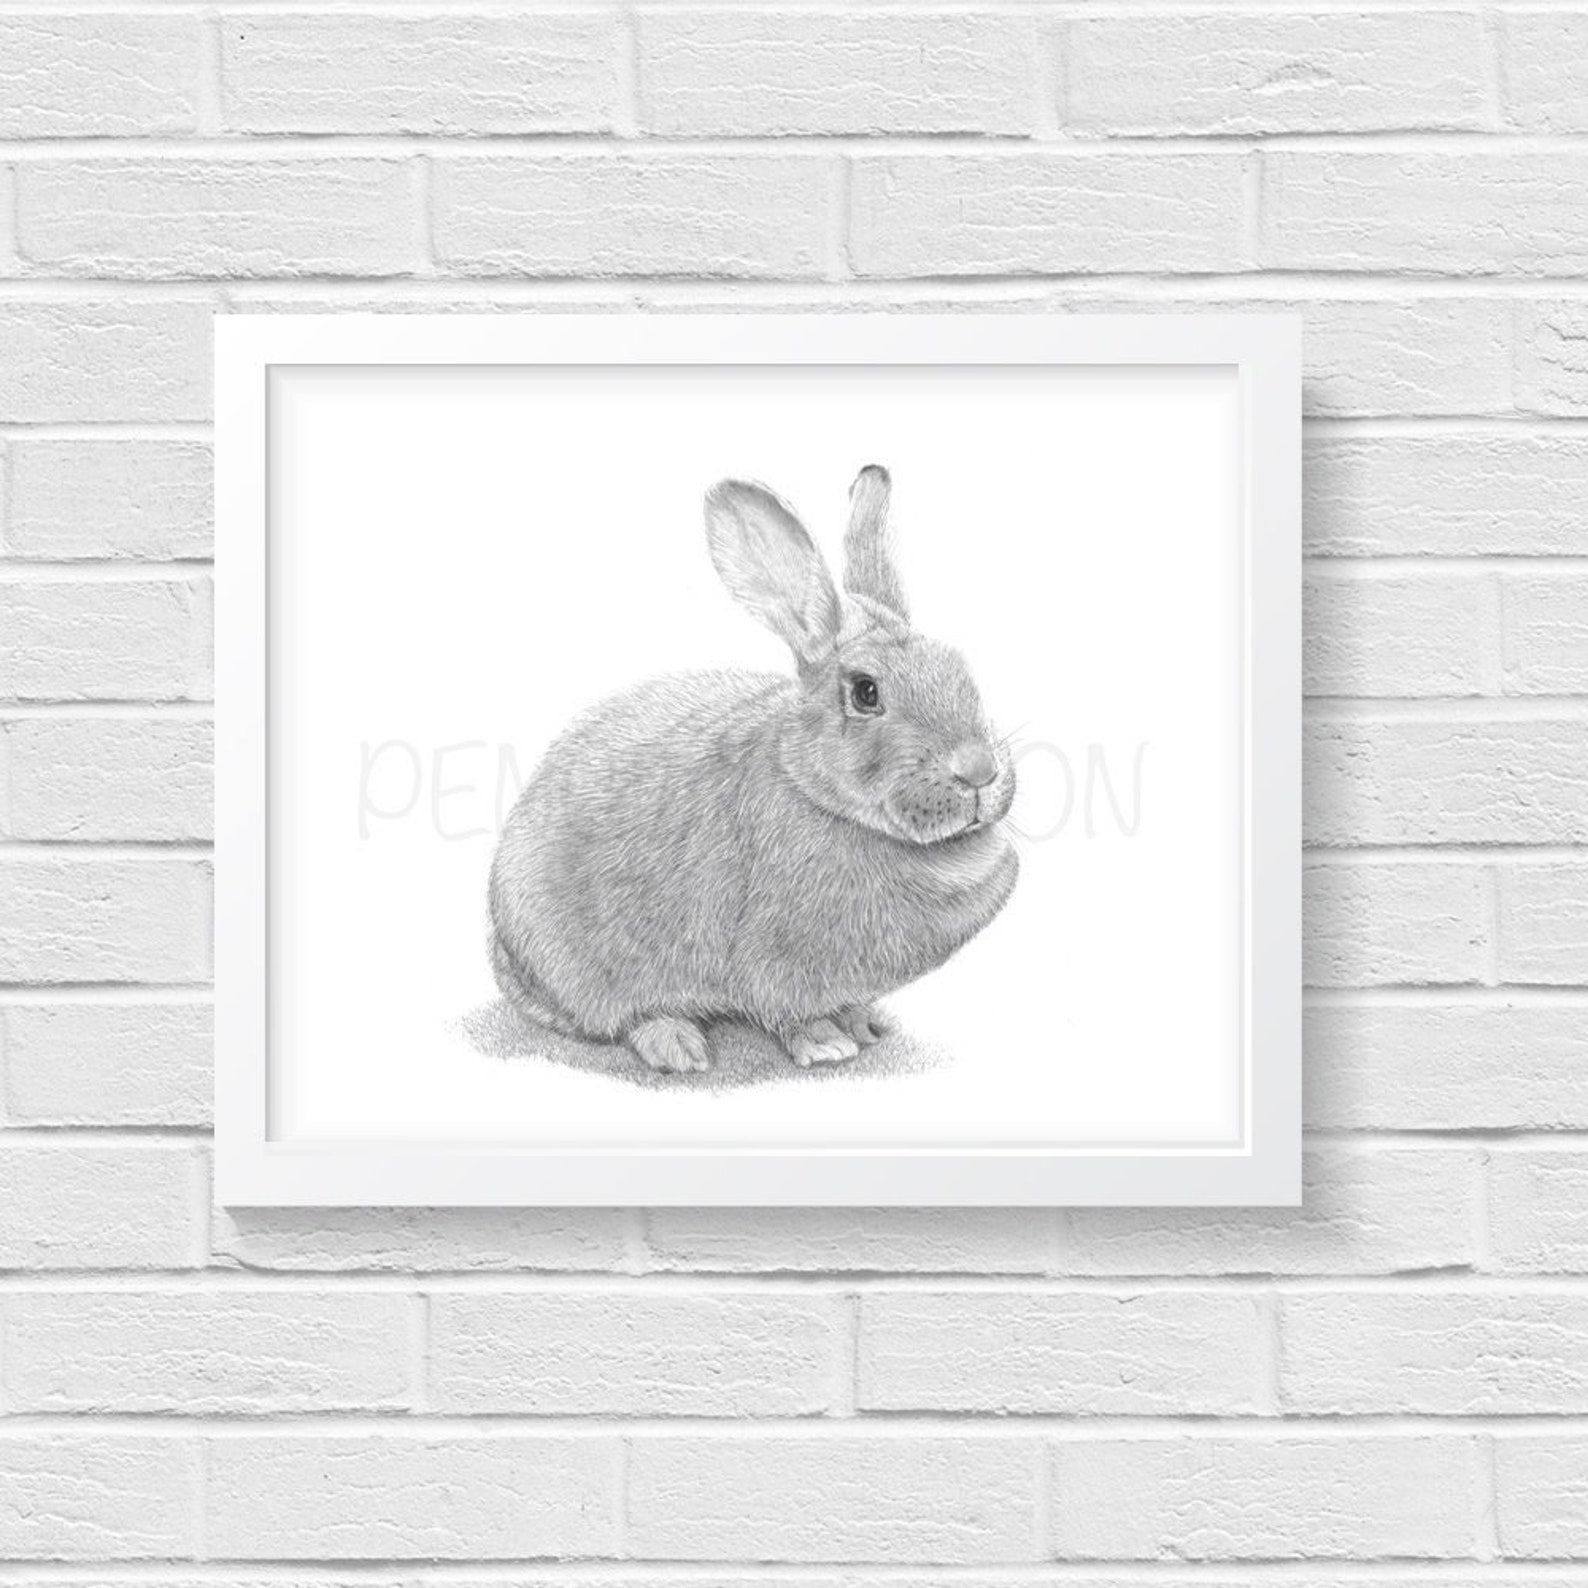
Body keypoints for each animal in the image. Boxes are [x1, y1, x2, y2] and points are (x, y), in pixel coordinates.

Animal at [487, 465, 1019, 1075]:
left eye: (959, 666)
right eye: (866, 692)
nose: (978, 771)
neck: (815, 789)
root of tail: (504, 955)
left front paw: (865, 1023)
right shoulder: (775, 956)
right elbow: (786, 1008)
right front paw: (826, 1044)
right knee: (618, 1016)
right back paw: (677, 1046)